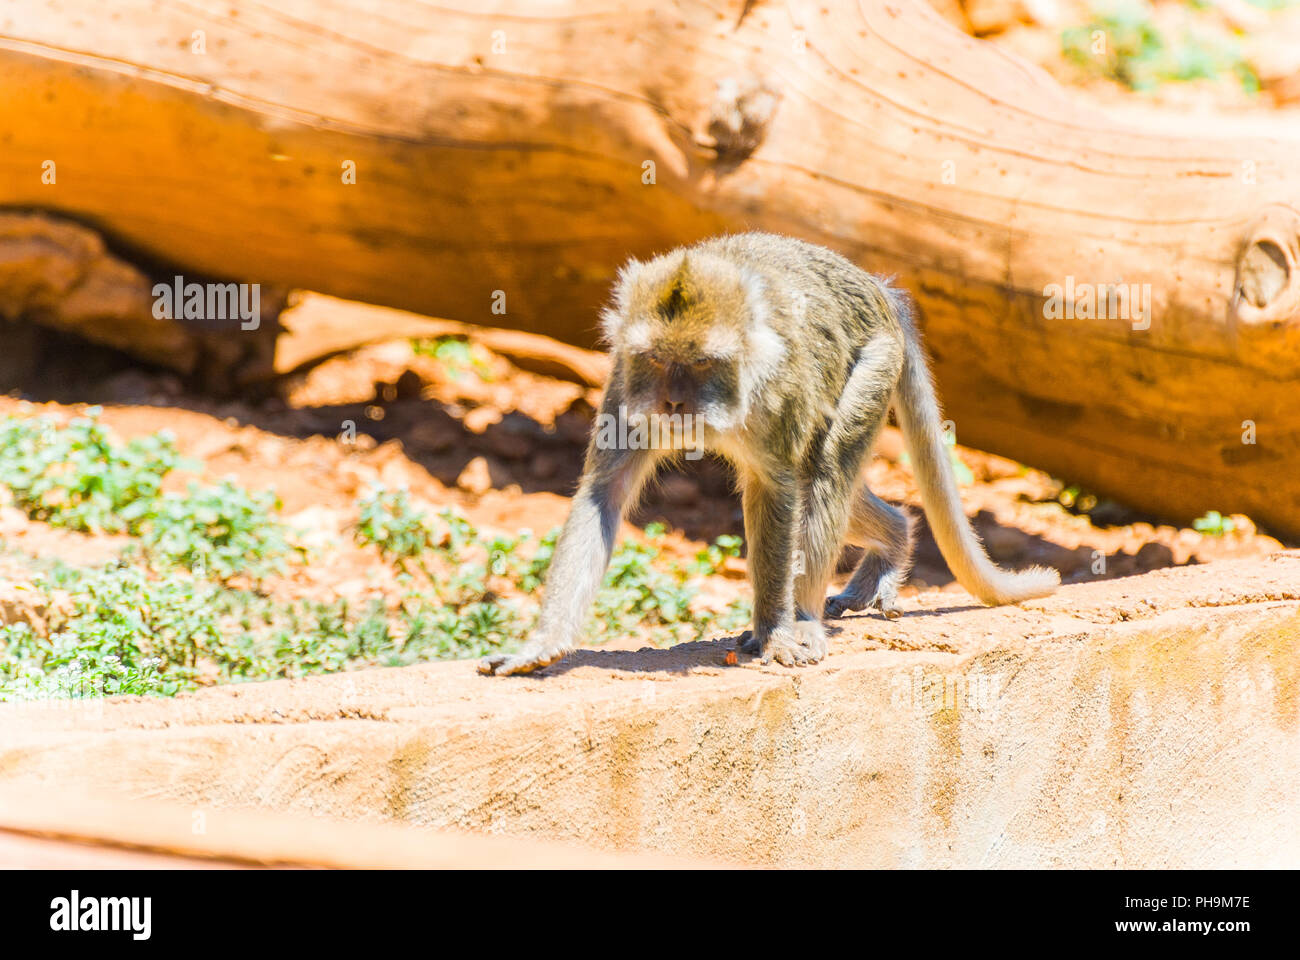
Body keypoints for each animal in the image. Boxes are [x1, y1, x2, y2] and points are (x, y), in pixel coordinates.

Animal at [479, 233, 1058, 675]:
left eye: (702, 362)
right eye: (657, 359)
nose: (674, 402)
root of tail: (876, 289)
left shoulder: (777, 393)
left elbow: (778, 487)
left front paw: (778, 630)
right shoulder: (626, 382)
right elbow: (603, 493)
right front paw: (542, 644)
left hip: (877, 358)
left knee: (826, 468)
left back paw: (805, 614)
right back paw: (895, 535)